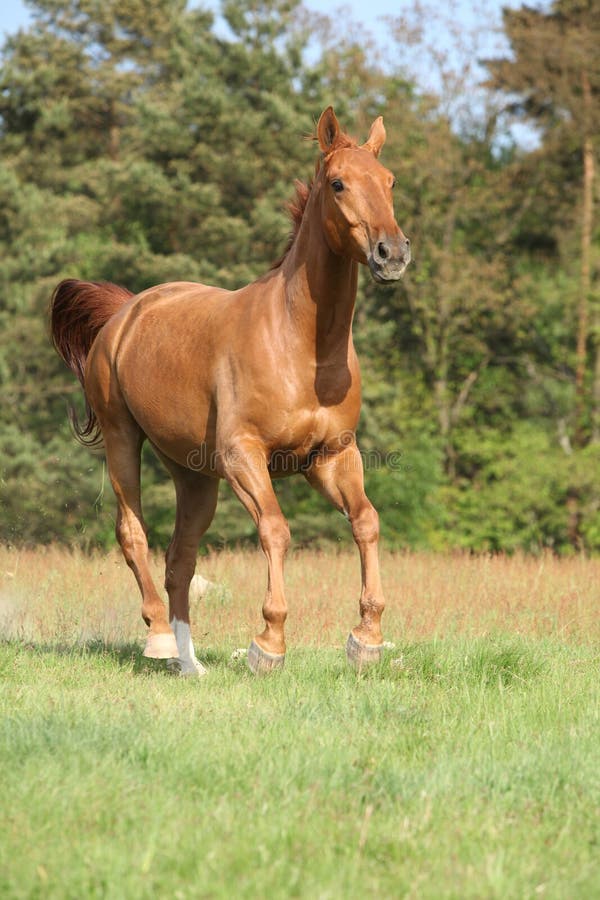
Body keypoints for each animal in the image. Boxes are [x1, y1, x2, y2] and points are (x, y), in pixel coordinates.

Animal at [50, 107, 410, 675]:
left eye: (390, 181)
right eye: (338, 183)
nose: (391, 253)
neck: (300, 345)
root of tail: (124, 312)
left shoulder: (332, 455)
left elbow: (366, 522)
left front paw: (367, 637)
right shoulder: (245, 455)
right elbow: (277, 530)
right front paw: (269, 642)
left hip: (195, 477)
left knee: (179, 558)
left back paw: (189, 664)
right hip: (122, 440)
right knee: (133, 534)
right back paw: (159, 638)